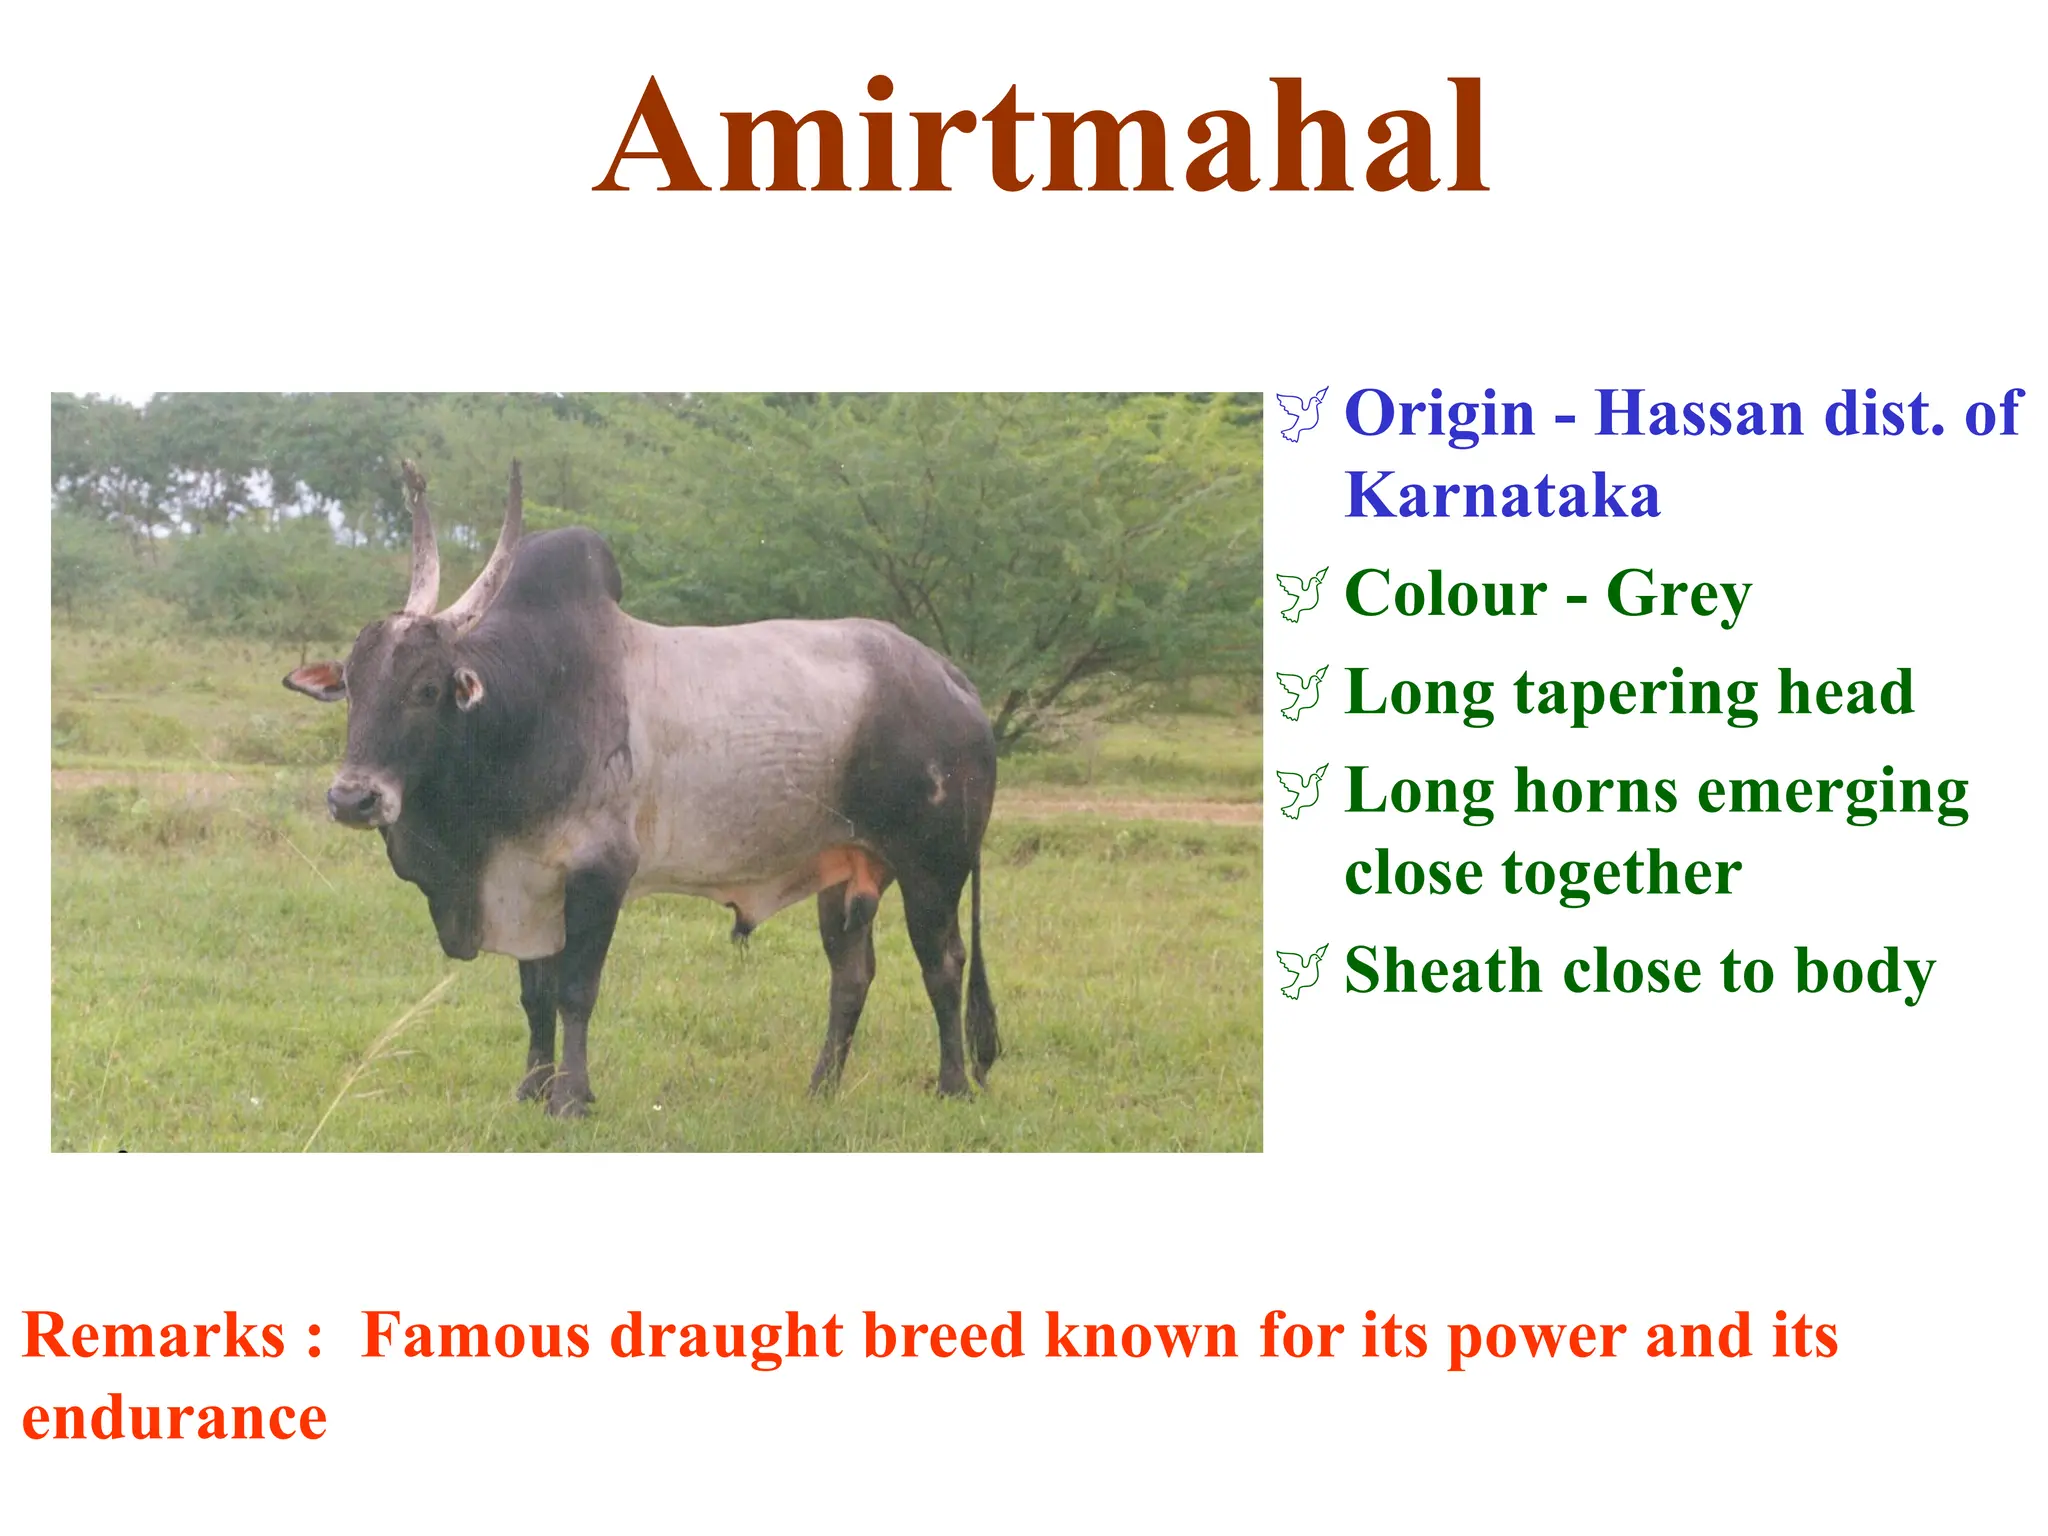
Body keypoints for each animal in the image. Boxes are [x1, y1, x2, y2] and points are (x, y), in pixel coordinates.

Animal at [283, 461, 998, 1117]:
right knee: (851, 976)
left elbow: (575, 991)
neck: (529, 709)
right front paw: (530, 1089)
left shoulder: (600, 872)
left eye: (427, 689)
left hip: (935, 868)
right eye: (352, 685)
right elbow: (534, 995)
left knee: (943, 962)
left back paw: (953, 1086)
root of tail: (951, 678)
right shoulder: (530, 880)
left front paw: (571, 1099)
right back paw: (821, 1088)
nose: (352, 799)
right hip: (848, 872)